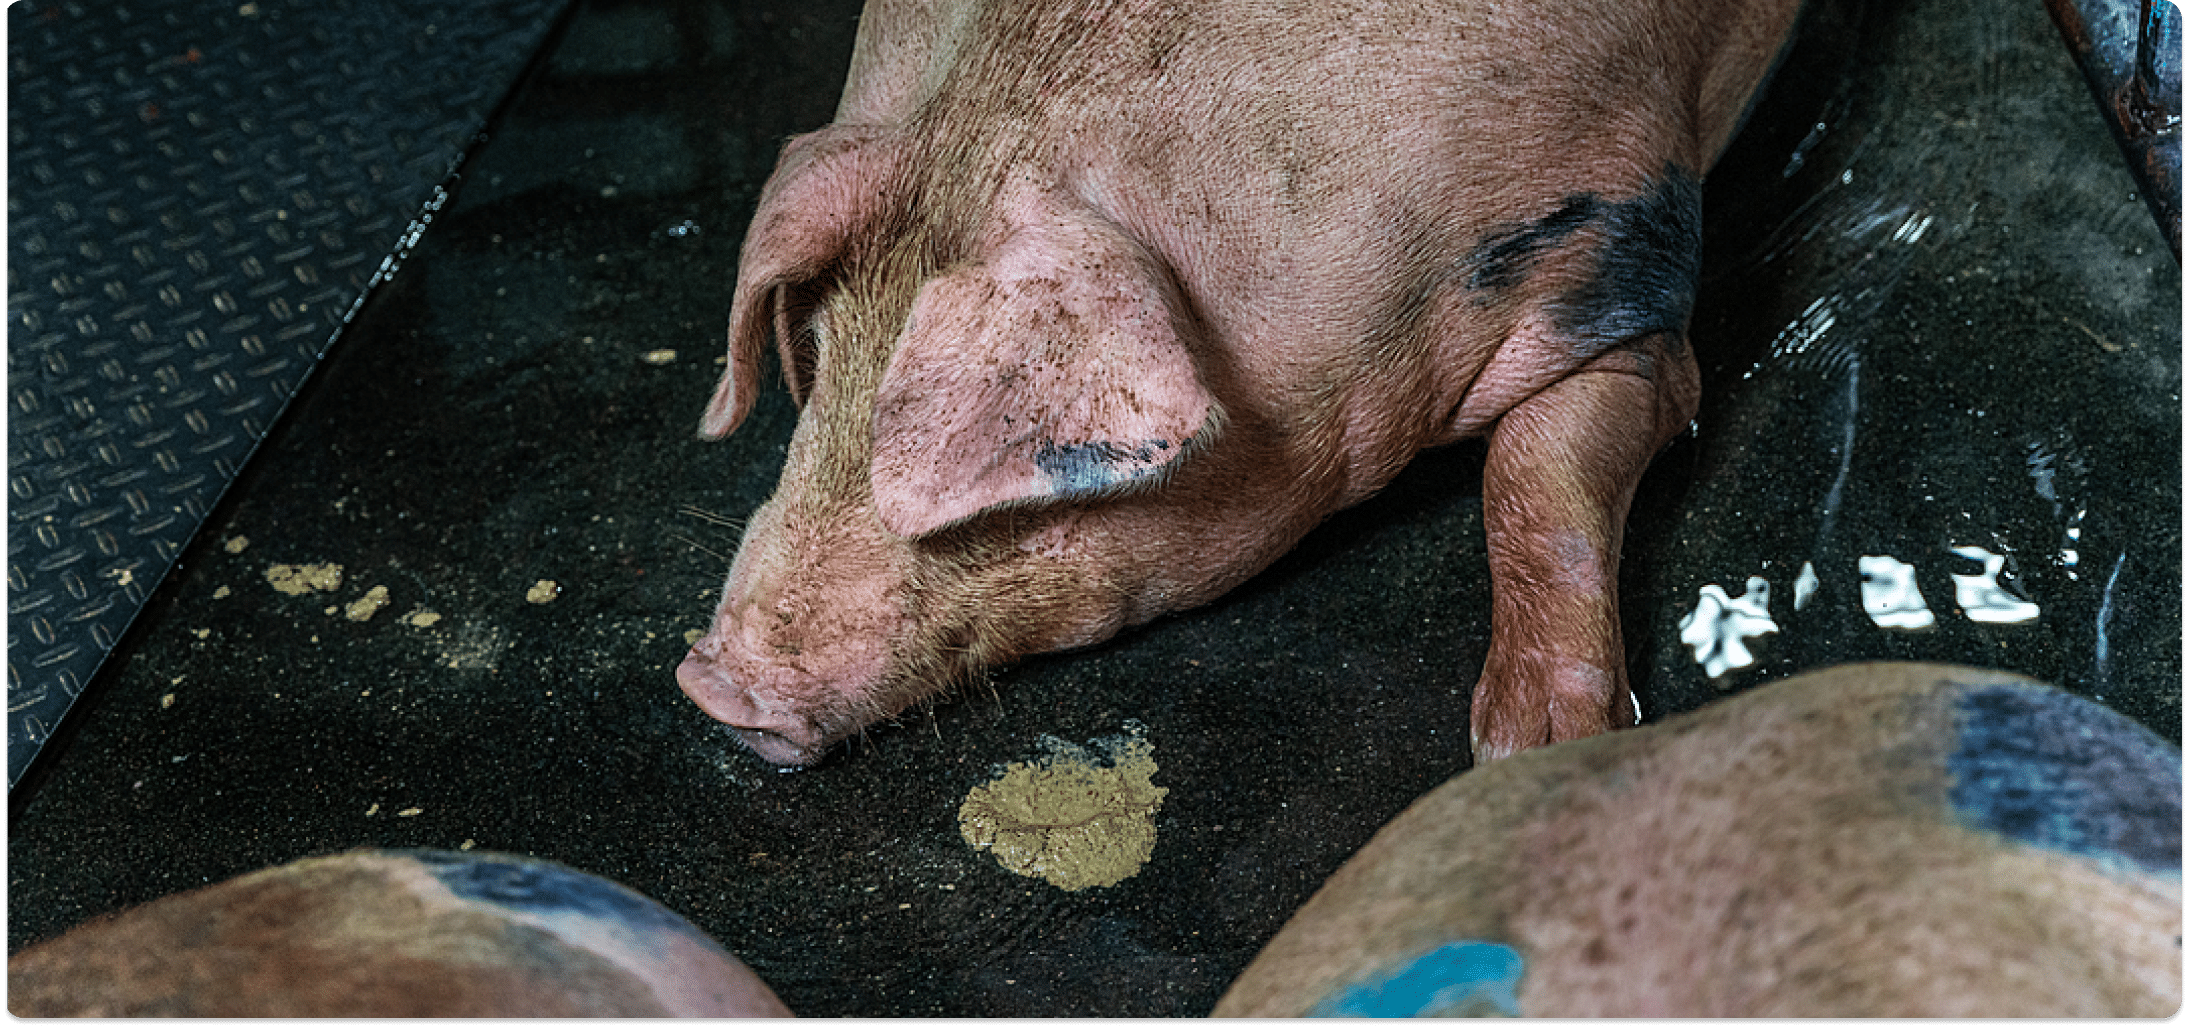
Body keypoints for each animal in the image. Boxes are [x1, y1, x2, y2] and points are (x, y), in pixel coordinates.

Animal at [679, 0, 1806, 765]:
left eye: (1027, 492)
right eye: (823, 361)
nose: (708, 685)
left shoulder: (1628, 274)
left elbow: (1535, 470)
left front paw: (1528, 747)